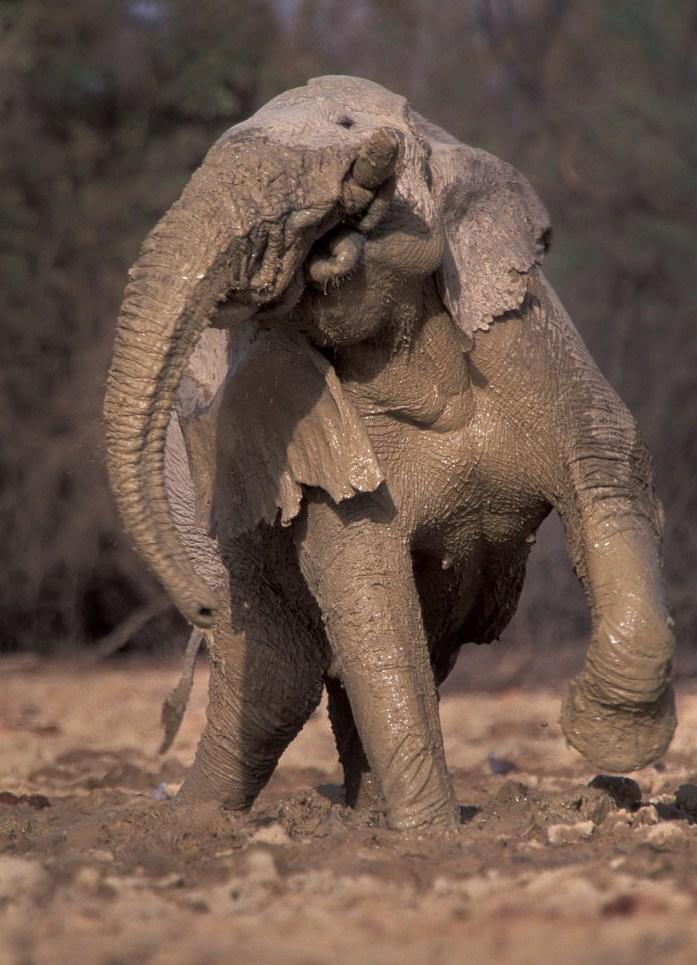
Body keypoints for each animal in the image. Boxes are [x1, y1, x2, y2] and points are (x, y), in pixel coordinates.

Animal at [104, 75, 675, 832]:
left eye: (349, 124)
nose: (197, 608)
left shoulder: (526, 329)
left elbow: (605, 468)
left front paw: (599, 740)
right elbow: (366, 585)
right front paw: (433, 835)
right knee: (277, 671)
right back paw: (192, 822)